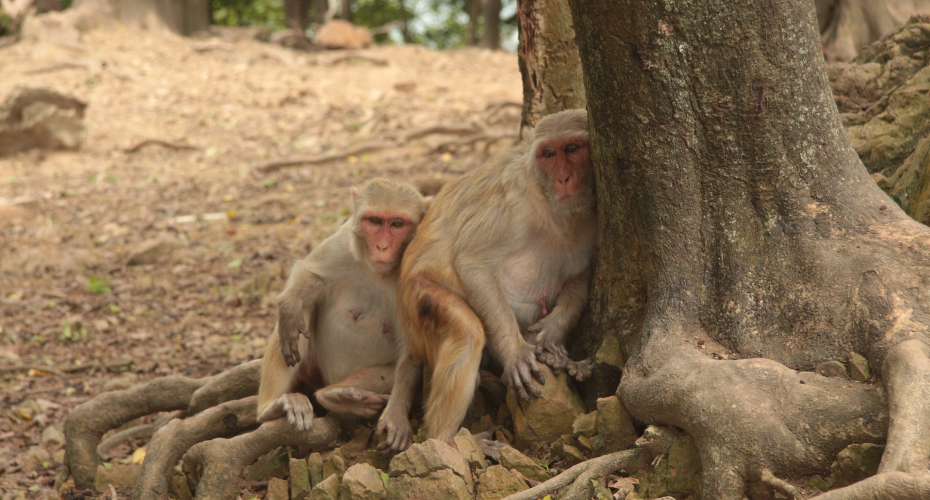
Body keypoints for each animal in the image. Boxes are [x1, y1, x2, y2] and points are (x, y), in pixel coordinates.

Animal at [257, 178, 429, 433]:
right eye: (375, 221)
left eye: (397, 224)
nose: (382, 247)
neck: (376, 272)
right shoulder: (341, 242)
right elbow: (309, 273)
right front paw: (288, 302)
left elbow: (412, 350)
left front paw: (396, 414)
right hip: (312, 369)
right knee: (301, 314)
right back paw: (271, 408)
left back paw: (338, 396)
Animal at [377, 109, 597, 445]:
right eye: (548, 153)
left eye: (572, 149)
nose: (563, 178)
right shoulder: (513, 205)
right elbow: (472, 262)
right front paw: (515, 352)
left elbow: (581, 275)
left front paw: (553, 332)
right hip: (416, 301)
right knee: (467, 331)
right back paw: (445, 440)